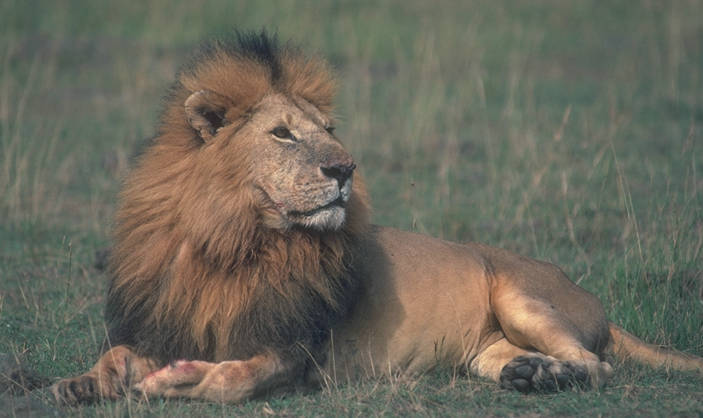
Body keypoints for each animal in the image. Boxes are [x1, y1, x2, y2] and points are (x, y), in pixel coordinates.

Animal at [52, 31, 702, 405]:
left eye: (328, 130)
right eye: (283, 134)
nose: (345, 167)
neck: (236, 241)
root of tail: (595, 302)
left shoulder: (296, 351)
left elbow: (233, 380)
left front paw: (179, 382)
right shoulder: (171, 319)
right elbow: (114, 356)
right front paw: (80, 383)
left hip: (522, 294)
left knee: (598, 364)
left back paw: (552, 377)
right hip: (487, 348)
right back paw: (529, 373)